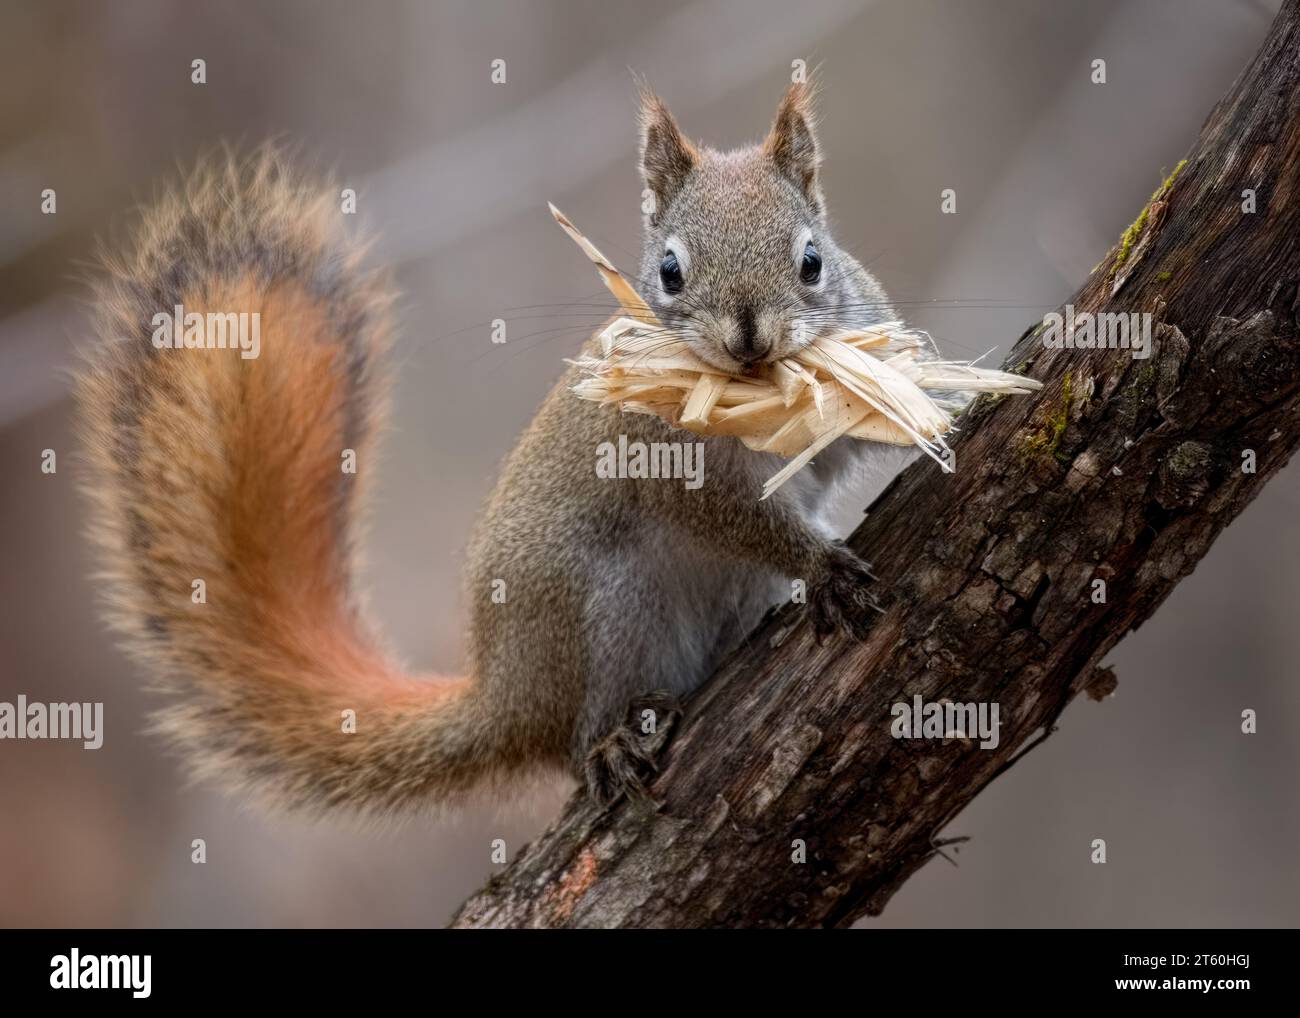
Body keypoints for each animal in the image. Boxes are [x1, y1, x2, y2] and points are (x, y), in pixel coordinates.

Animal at [77, 82, 891, 814]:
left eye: (813, 261)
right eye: (669, 270)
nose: (750, 341)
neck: (756, 400)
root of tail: (502, 700)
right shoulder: (656, 452)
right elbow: (726, 513)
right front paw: (820, 564)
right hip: (606, 609)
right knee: (576, 737)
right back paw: (611, 743)